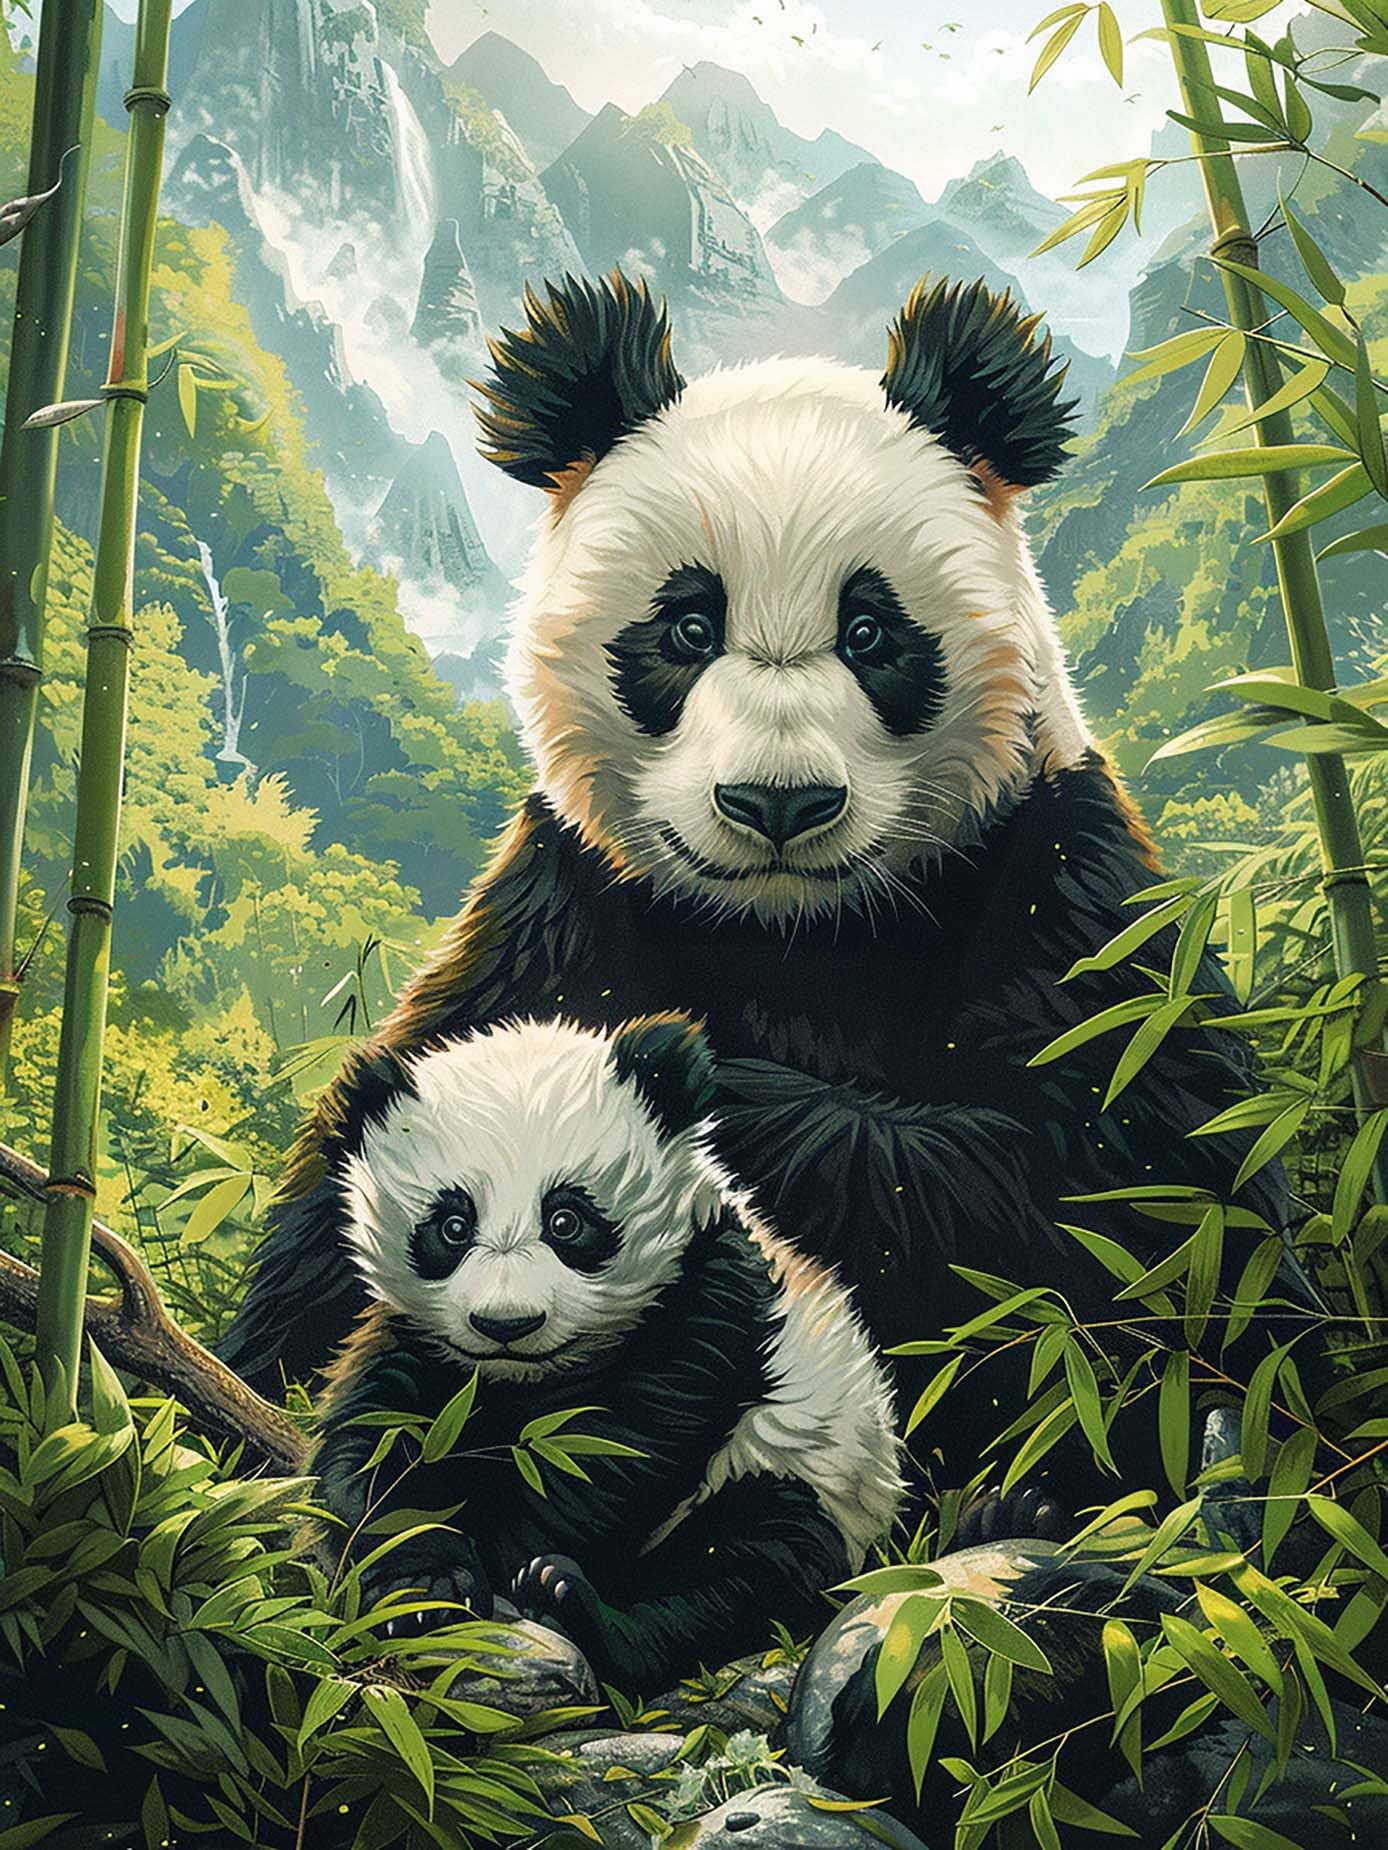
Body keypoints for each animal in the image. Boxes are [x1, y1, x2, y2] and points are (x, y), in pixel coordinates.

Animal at [230, 267, 1280, 1532]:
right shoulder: (568, 898)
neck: (794, 933)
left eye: (871, 631)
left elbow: (1133, 1210)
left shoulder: (1059, 884)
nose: (777, 802)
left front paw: (713, 1099)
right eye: (686, 625)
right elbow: (329, 1260)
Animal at [311, 1011, 903, 1690]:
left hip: (812, 1468)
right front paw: (425, 1586)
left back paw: (574, 1603)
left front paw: (509, 1559)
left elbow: (614, 1453)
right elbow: (379, 1451)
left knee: (748, 1563)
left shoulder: (704, 1303)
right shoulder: (425, 1348)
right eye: (452, 1226)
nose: (507, 1323)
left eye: (566, 1220)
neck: (531, 1379)